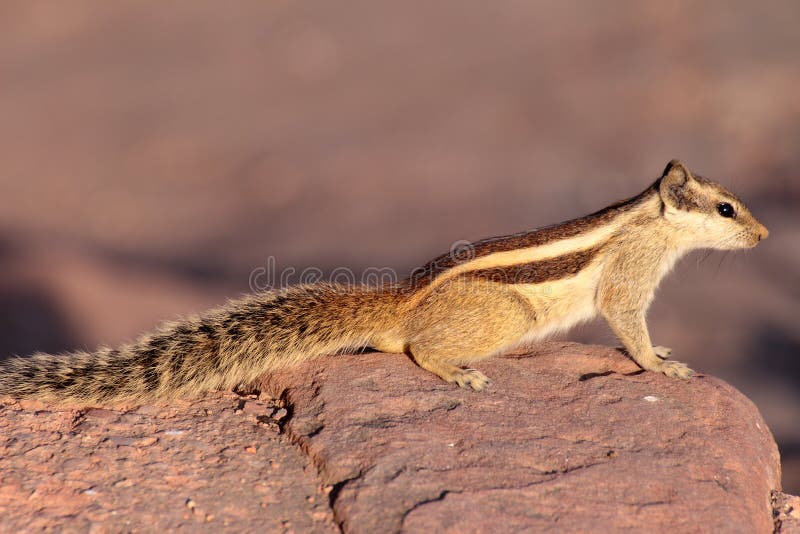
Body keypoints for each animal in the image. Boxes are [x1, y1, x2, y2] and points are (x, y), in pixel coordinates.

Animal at [0, 160, 768, 404]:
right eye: (727, 209)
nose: (764, 237)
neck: (651, 221)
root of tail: (400, 302)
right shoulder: (629, 281)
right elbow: (628, 325)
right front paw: (660, 365)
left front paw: (660, 357)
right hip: (506, 317)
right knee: (417, 348)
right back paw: (456, 371)